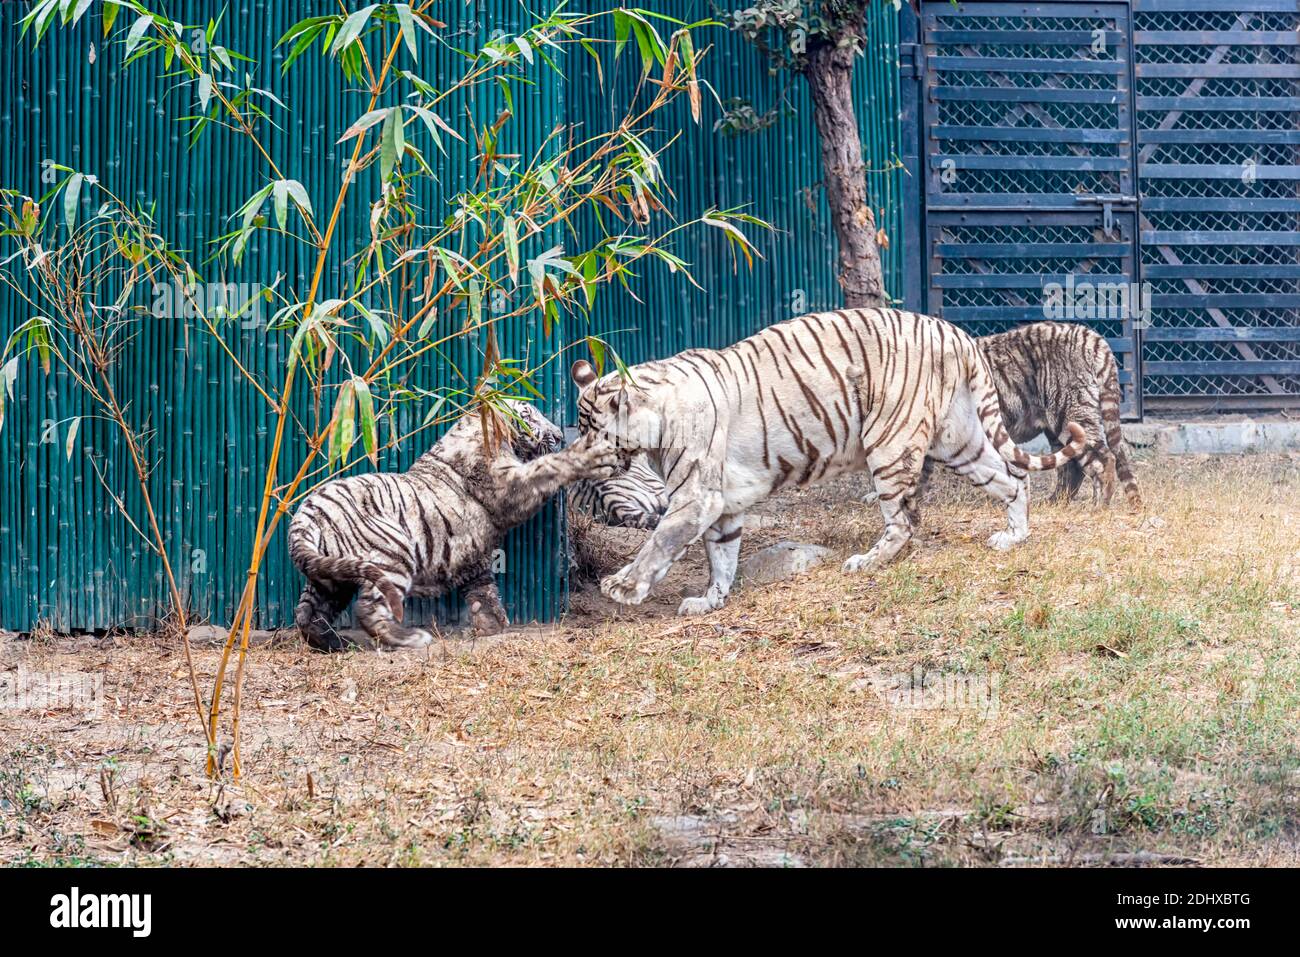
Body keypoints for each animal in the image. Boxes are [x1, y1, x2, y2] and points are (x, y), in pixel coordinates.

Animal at [289, 401, 617, 651]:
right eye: (529, 415)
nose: (559, 434)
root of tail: (306, 515)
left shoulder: (473, 559)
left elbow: (484, 590)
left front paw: (492, 624)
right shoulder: (509, 486)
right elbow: (548, 467)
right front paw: (590, 454)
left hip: (330, 576)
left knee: (306, 612)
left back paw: (334, 643)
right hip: (392, 551)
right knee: (369, 608)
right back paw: (410, 638)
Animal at [571, 307, 1087, 615]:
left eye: (594, 431)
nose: (584, 459)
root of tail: (954, 331)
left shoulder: (695, 498)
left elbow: (659, 544)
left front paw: (623, 587)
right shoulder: (722, 504)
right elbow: (722, 556)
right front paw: (709, 601)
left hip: (889, 443)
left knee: (904, 522)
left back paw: (866, 562)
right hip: (958, 441)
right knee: (1012, 477)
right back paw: (1014, 537)